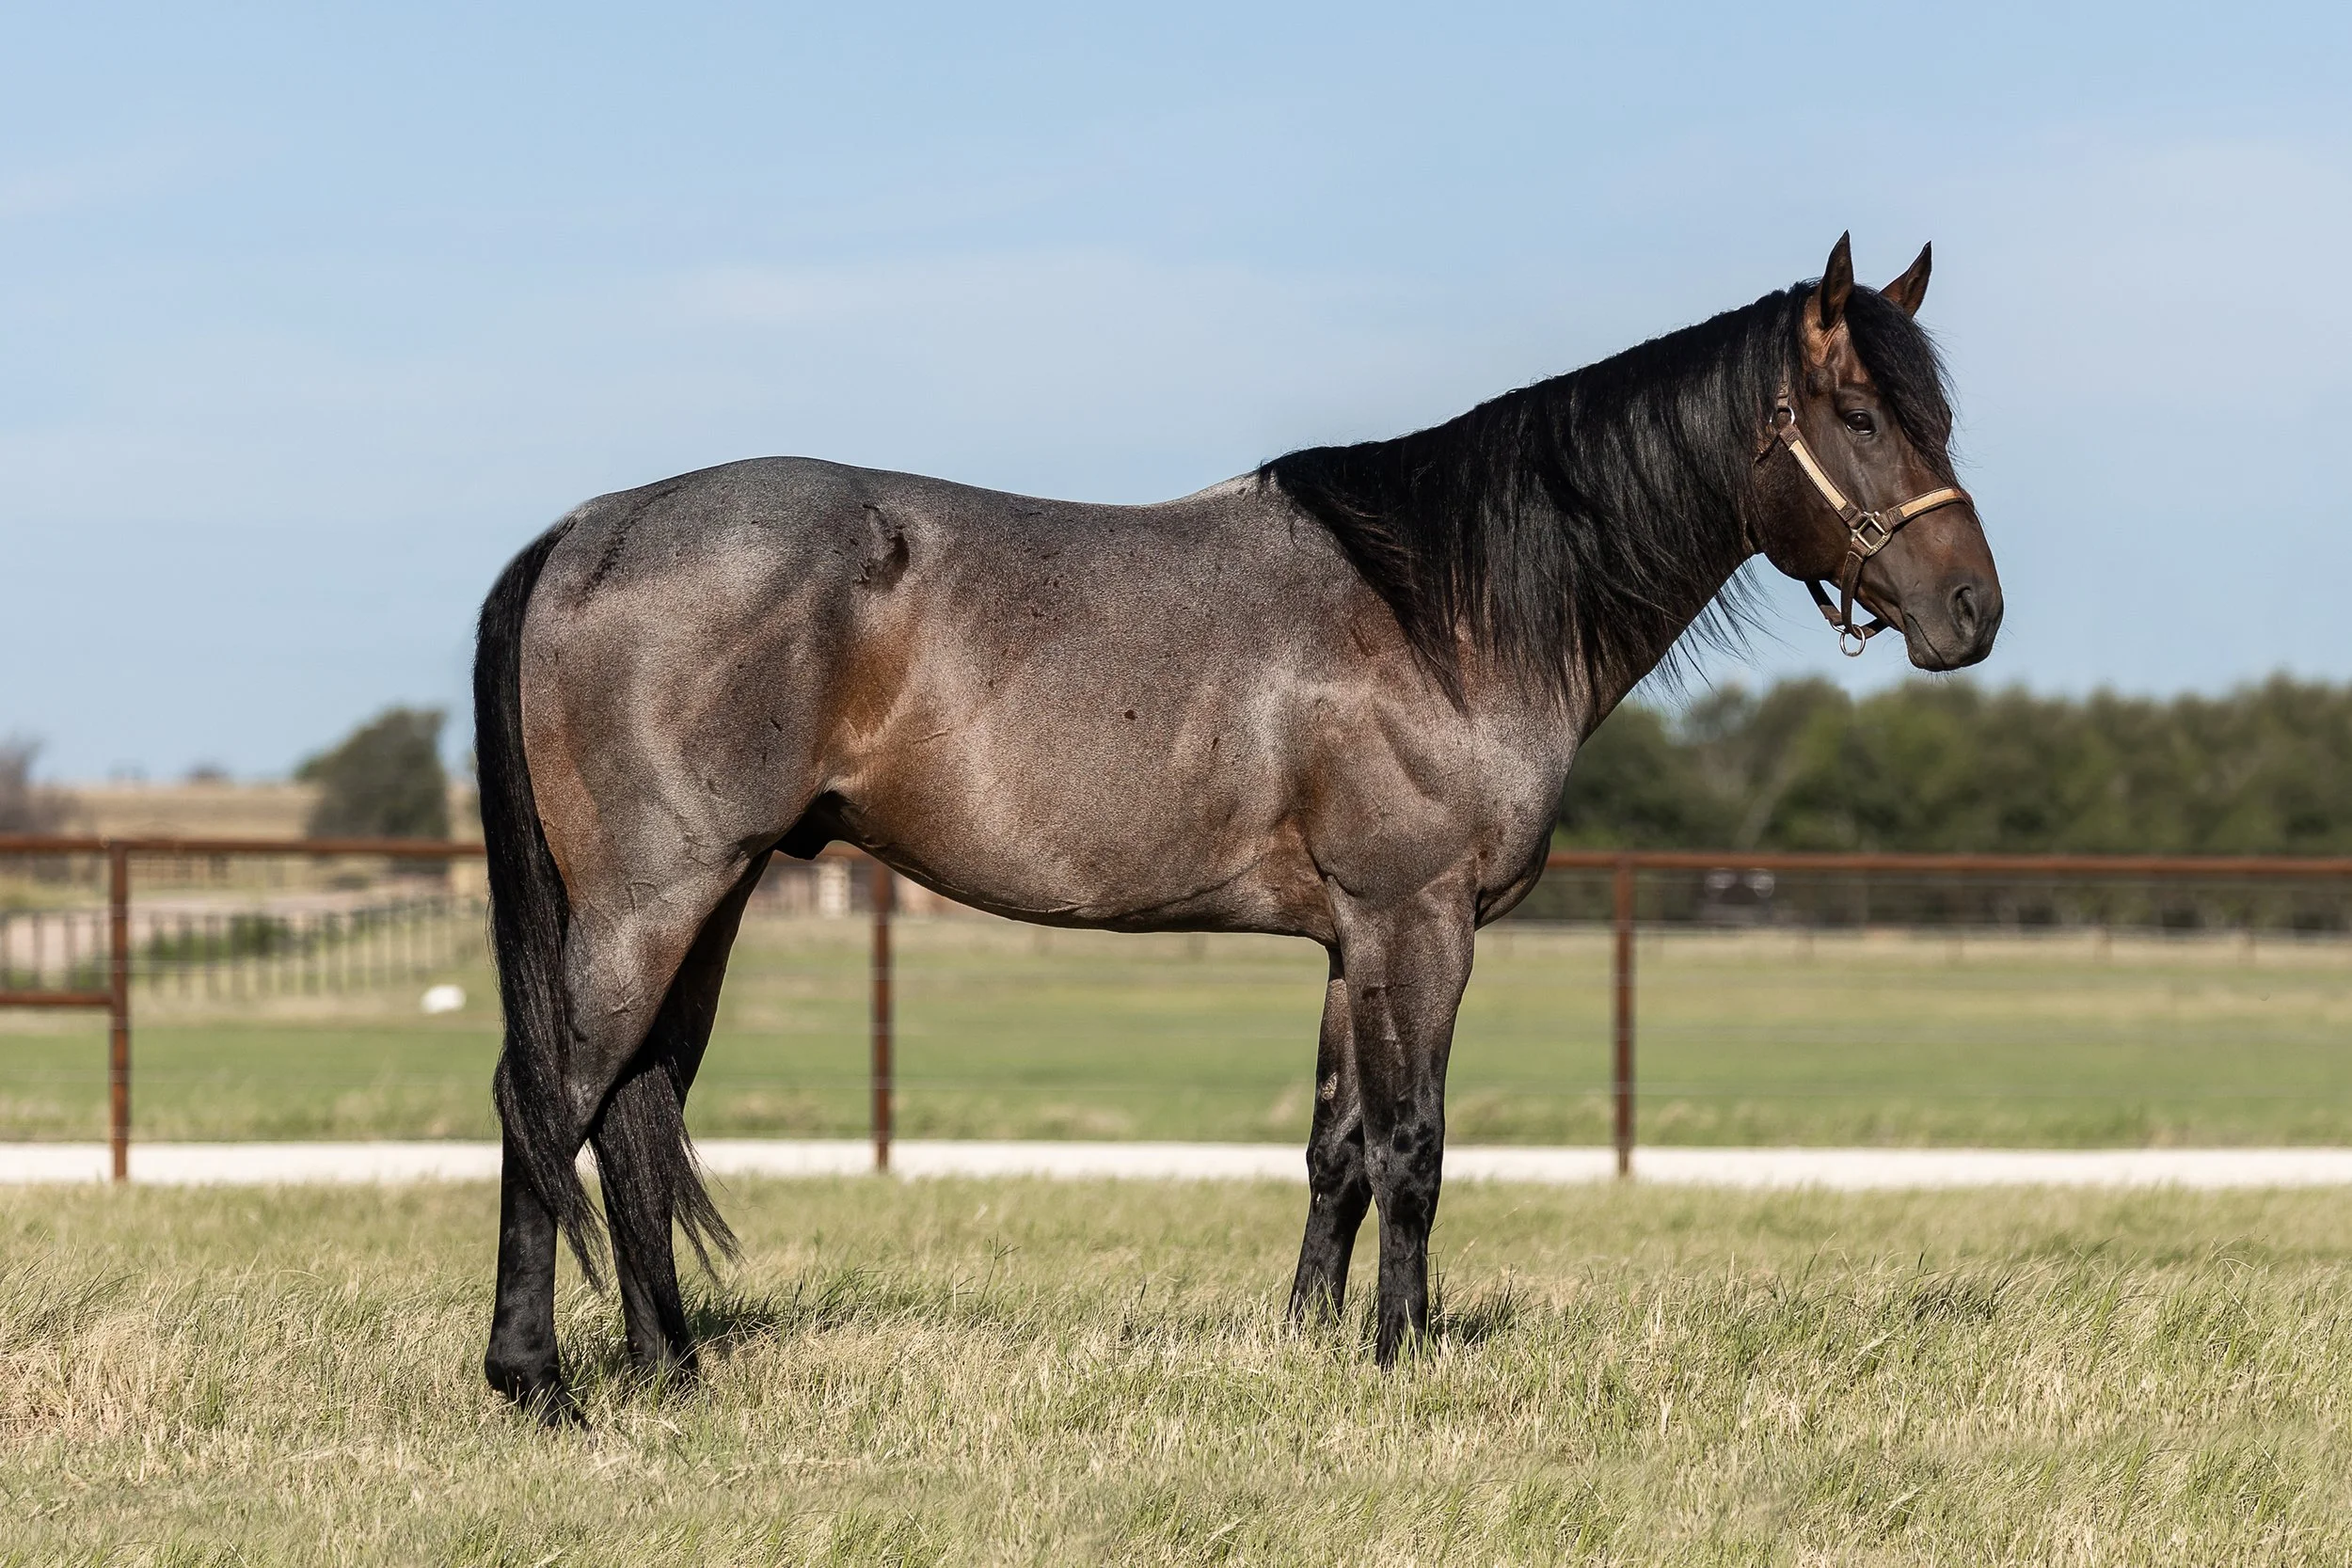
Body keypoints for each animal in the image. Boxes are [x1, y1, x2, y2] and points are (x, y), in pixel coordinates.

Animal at [473, 233, 2001, 1422]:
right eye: (1860, 413)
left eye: (1936, 415)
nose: (1973, 611)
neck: (1440, 607)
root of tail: (589, 527)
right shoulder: (1417, 922)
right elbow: (1413, 1144)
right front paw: (1397, 1354)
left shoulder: (1348, 940)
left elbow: (1337, 1150)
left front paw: (1309, 1341)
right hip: (654, 900)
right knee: (548, 1095)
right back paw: (538, 1380)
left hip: (713, 899)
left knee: (637, 1109)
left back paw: (672, 1372)